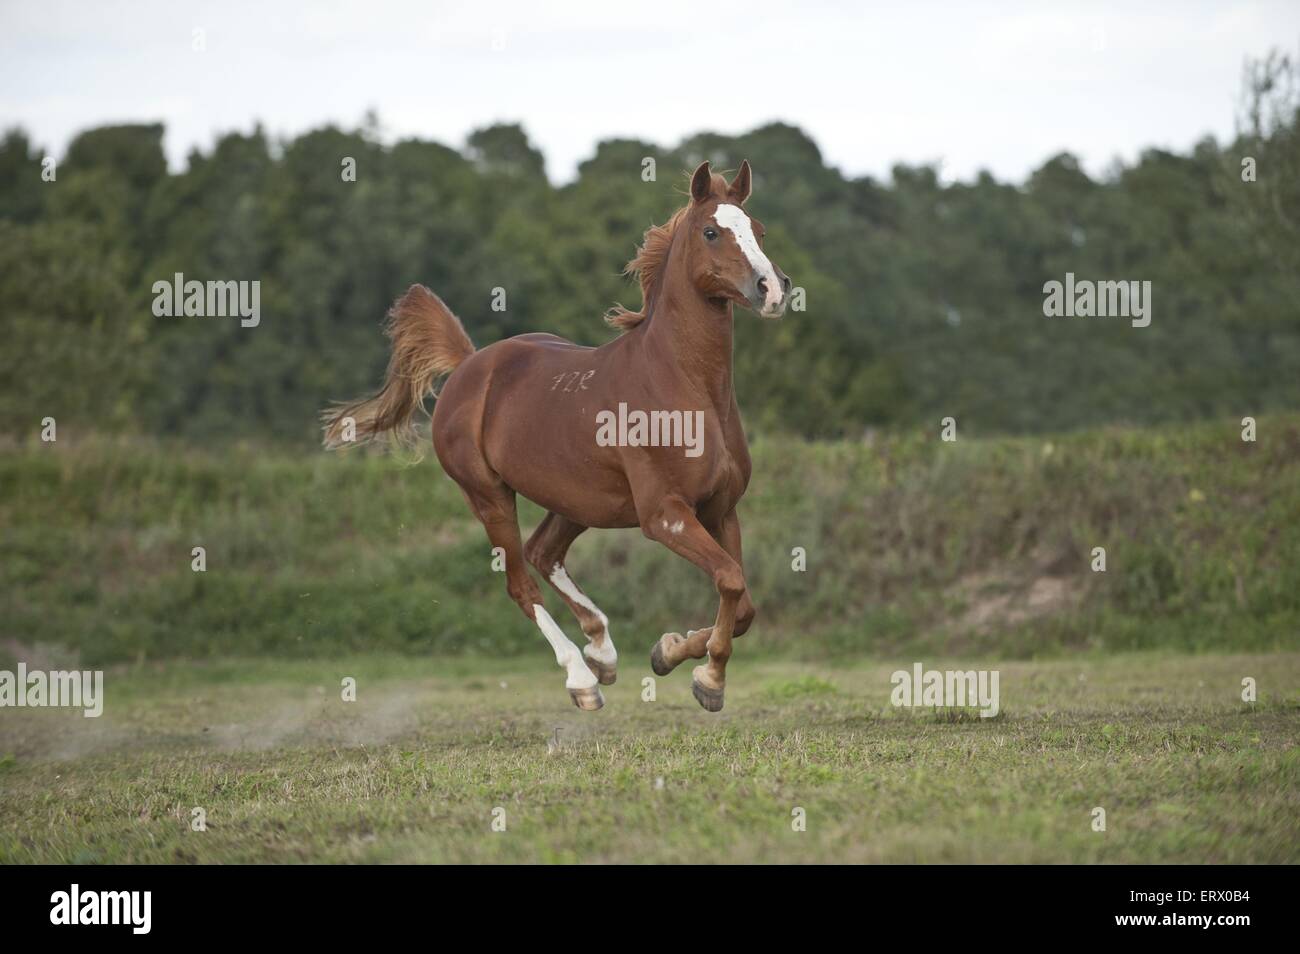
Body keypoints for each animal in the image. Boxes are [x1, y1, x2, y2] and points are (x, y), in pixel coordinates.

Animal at [322, 160, 790, 712]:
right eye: (712, 232)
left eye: (758, 230)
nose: (773, 288)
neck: (685, 386)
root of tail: (470, 366)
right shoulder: (666, 516)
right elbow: (731, 582)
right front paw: (706, 678)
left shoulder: (721, 510)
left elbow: (742, 603)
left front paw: (671, 654)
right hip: (490, 497)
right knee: (522, 583)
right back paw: (582, 679)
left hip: (575, 501)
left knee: (544, 552)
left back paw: (602, 651)